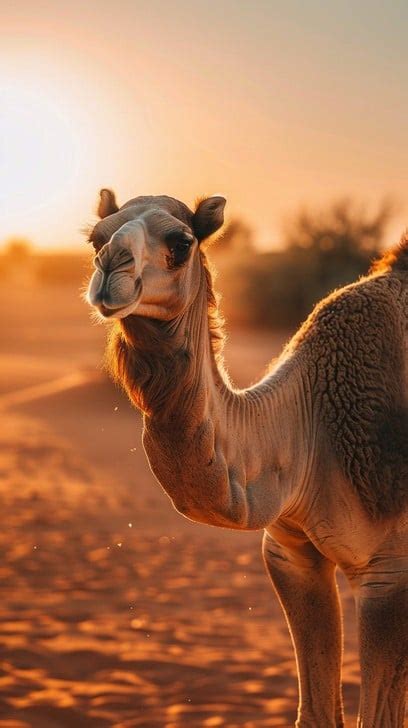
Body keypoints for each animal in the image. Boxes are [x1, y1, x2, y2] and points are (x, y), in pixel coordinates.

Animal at [86, 190, 408, 727]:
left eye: (181, 242)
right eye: (96, 237)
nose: (111, 267)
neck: (310, 425)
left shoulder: (390, 572)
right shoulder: (290, 552)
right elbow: (316, 713)